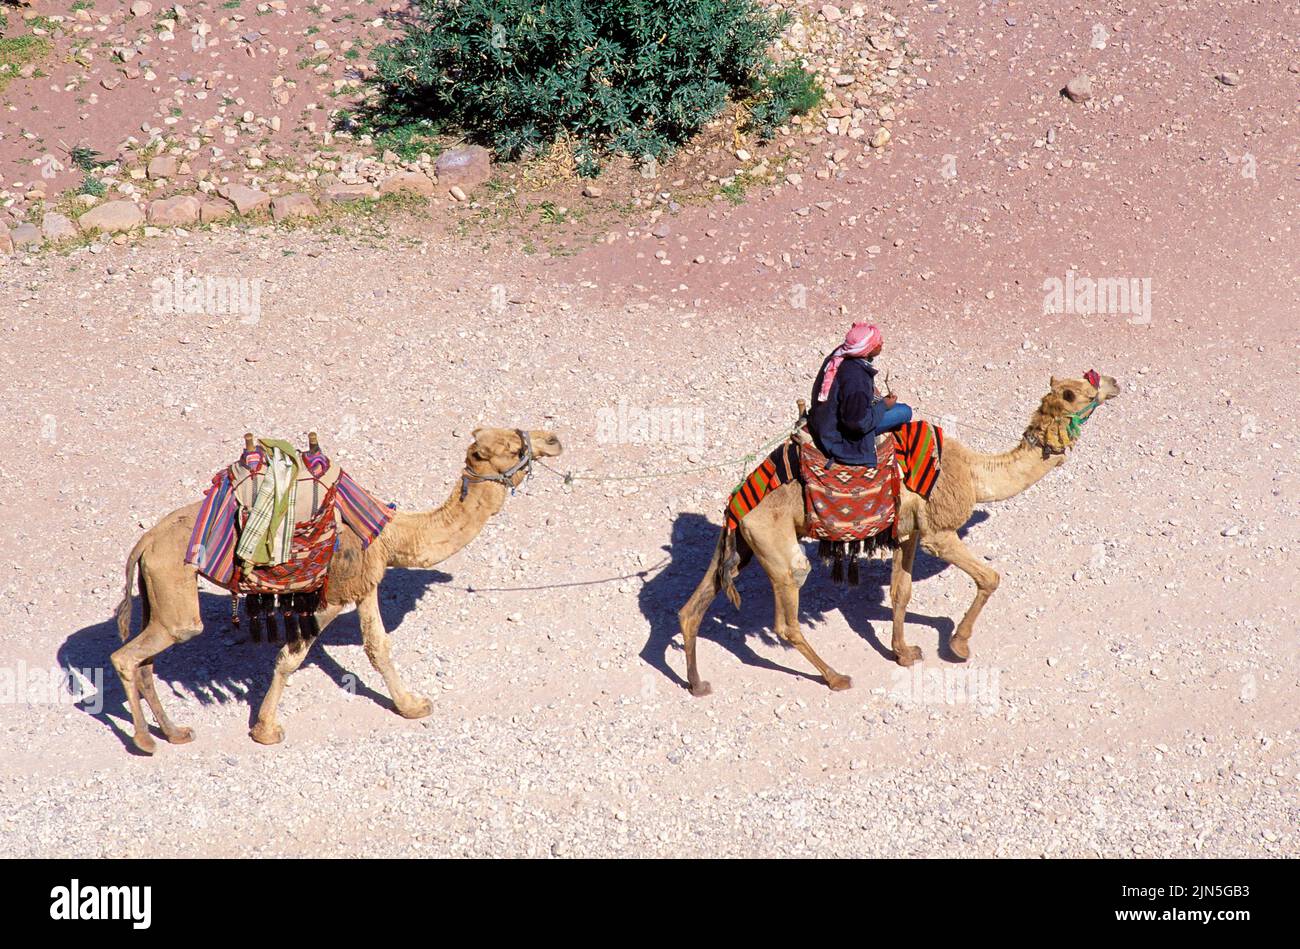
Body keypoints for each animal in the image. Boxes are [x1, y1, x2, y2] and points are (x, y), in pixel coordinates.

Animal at [111, 427, 563, 753]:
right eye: (510, 446)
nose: (553, 439)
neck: (390, 534)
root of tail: (144, 542)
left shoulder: (366, 584)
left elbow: (377, 646)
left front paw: (411, 706)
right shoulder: (335, 593)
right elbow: (292, 657)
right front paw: (266, 730)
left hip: (158, 589)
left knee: (146, 660)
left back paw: (175, 733)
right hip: (174, 585)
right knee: (131, 654)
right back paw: (145, 742)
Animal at [677, 374, 1119, 695]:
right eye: (1084, 391)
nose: (1115, 383)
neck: (975, 473)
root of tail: (736, 502)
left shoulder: (908, 532)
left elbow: (901, 592)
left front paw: (904, 653)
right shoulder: (939, 532)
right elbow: (990, 577)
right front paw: (958, 645)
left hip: (742, 542)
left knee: (692, 607)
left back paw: (698, 684)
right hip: (777, 547)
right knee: (786, 621)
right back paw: (836, 677)